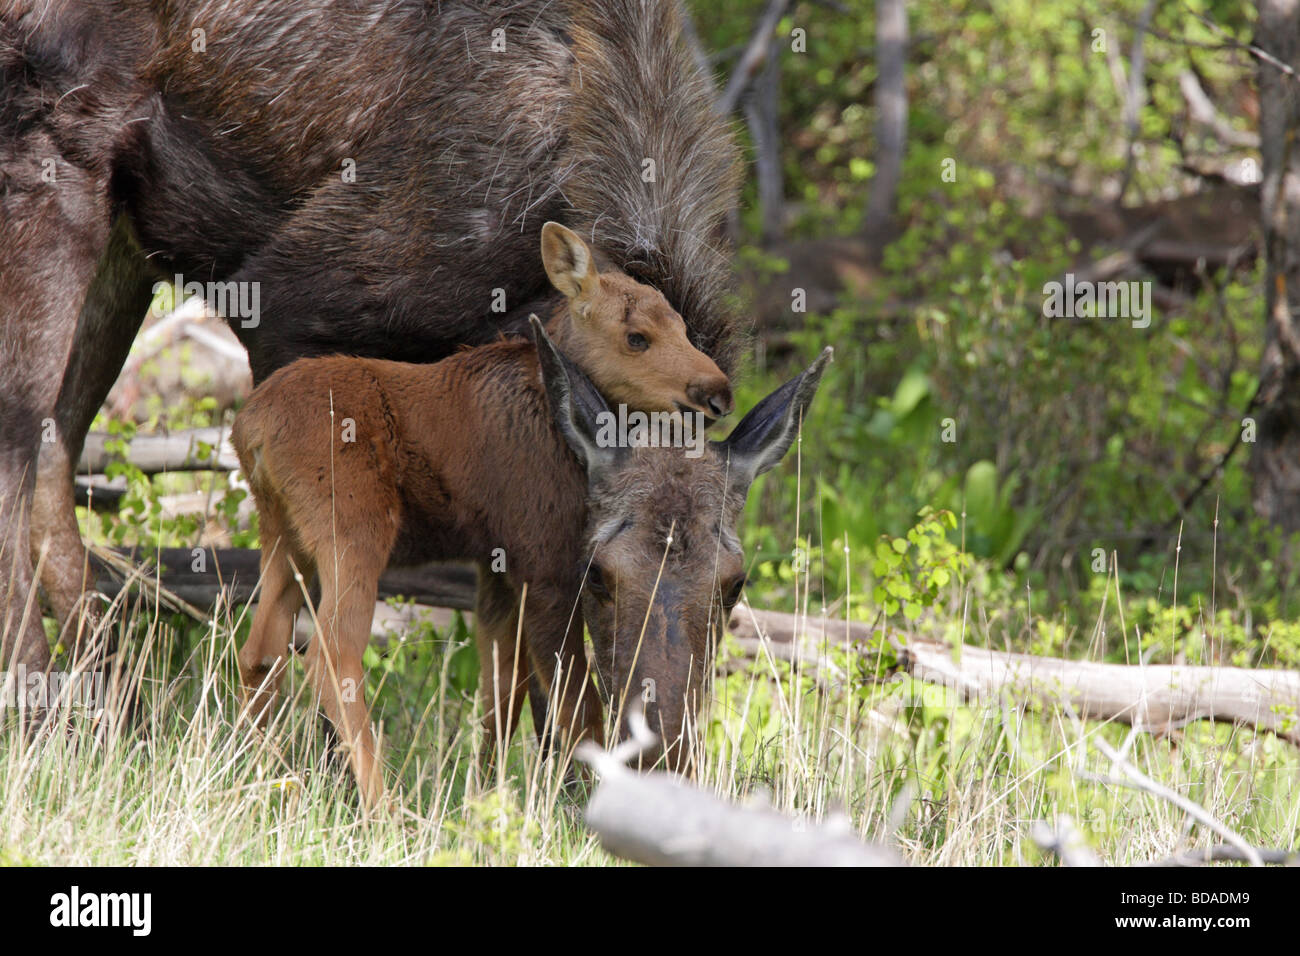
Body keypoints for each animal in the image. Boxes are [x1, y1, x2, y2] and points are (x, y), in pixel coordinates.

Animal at [233, 313, 830, 806]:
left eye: (735, 584)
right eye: (597, 573)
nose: (663, 757)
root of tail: (250, 427)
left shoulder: (497, 571)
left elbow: (501, 695)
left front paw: (485, 799)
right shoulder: (545, 571)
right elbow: (577, 706)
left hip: (284, 534)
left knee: (261, 648)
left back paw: (253, 780)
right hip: (352, 530)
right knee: (331, 653)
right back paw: (387, 812)